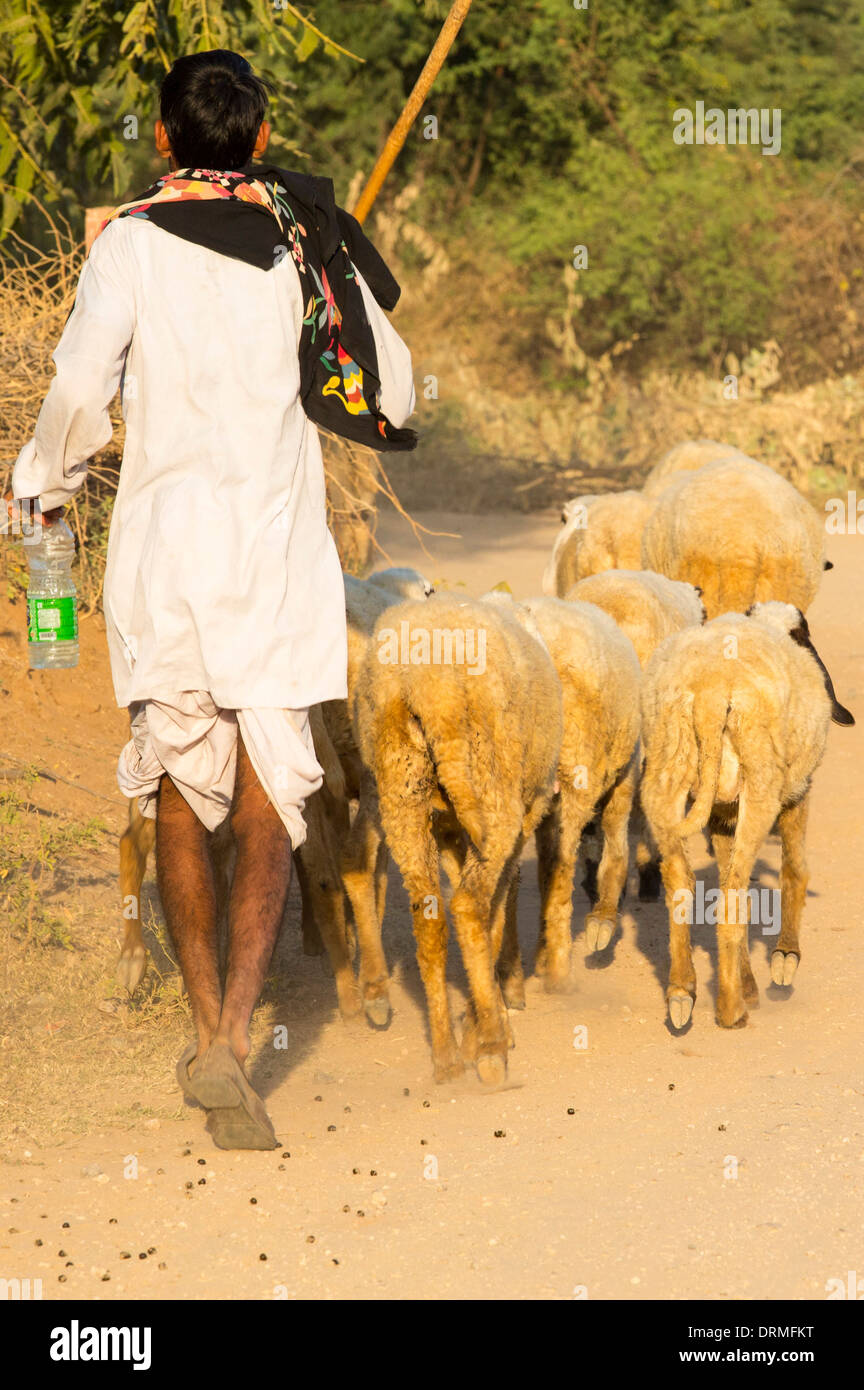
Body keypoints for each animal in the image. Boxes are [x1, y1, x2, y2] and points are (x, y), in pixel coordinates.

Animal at [352, 594, 562, 1083]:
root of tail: (433, 687)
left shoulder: (448, 829)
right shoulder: (525, 814)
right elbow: (498, 906)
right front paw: (491, 1019)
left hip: (402, 790)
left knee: (430, 917)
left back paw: (446, 1056)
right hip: (492, 784)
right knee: (468, 907)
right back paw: (490, 1049)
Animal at [640, 602, 854, 1031]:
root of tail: (709, 695)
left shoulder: (721, 816)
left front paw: (752, 982)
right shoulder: (797, 790)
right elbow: (794, 870)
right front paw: (784, 959)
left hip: (666, 772)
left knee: (682, 883)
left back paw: (682, 994)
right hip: (761, 784)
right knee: (734, 896)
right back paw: (731, 1010)